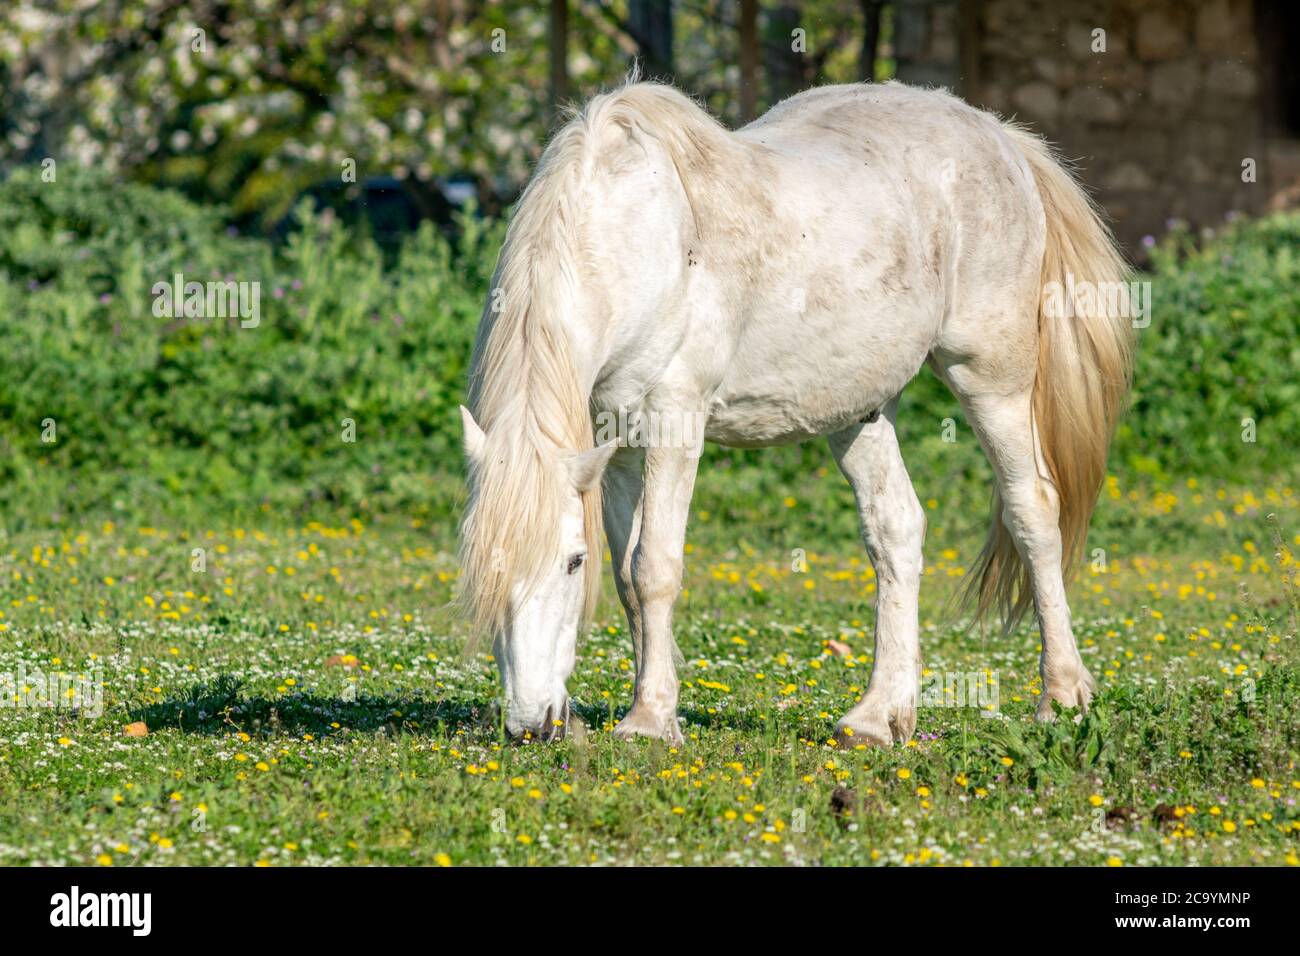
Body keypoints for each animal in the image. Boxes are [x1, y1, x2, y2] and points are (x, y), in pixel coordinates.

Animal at [457, 78, 1133, 746]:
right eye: (482, 565)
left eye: (572, 562)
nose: (529, 724)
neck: (635, 236)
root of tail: (1001, 137)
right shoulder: (615, 443)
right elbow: (627, 577)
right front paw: (653, 704)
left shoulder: (675, 420)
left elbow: (655, 567)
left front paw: (648, 720)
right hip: (858, 414)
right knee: (897, 531)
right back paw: (880, 717)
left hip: (990, 379)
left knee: (1032, 512)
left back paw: (1061, 696)